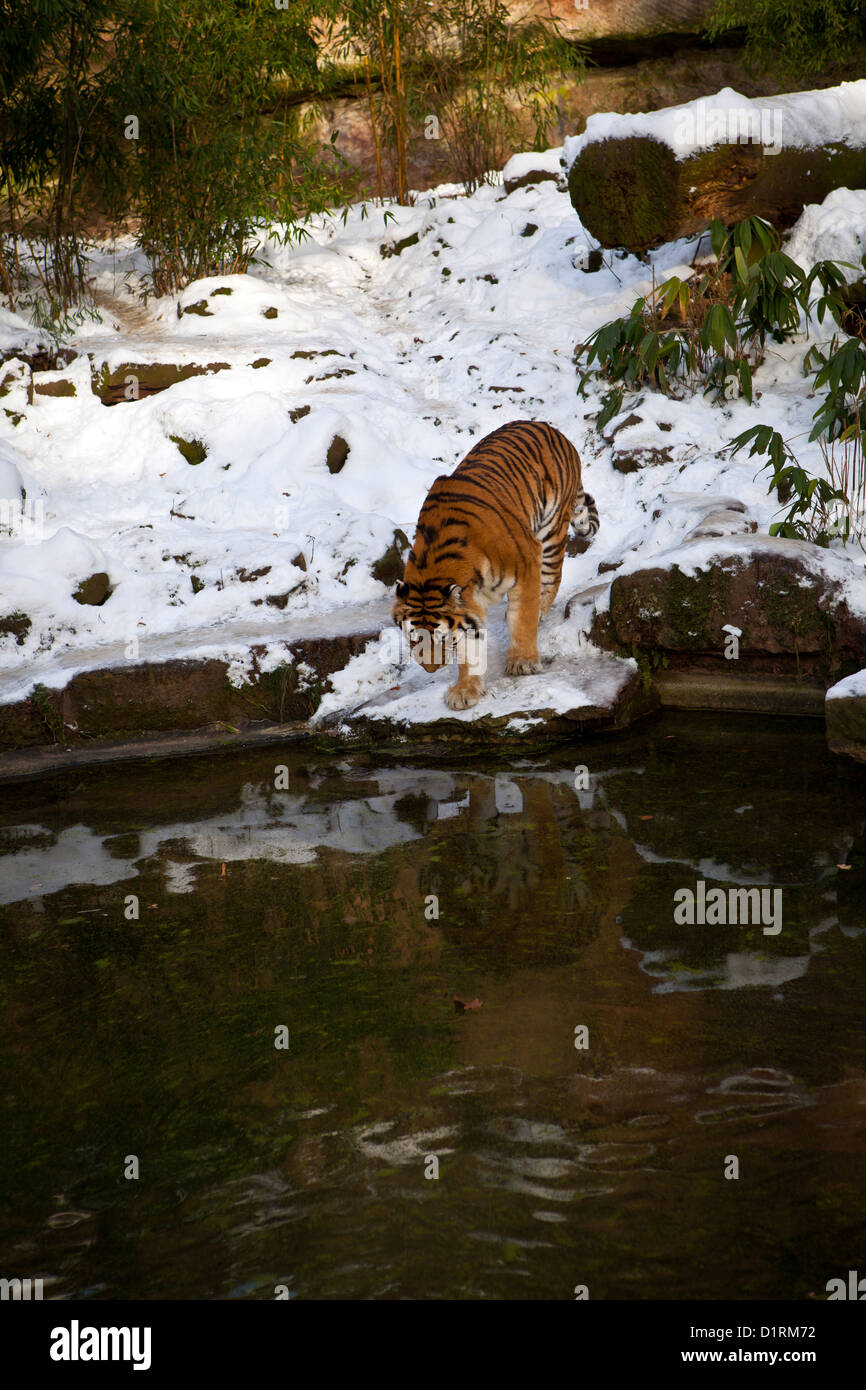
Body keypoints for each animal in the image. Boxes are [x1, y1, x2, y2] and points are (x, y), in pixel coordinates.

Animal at [393, 419, 599, 709]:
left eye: (442, 637)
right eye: (414, 638)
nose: (431, 670)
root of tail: (548, 427)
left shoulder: (526, 563)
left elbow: (522, 617)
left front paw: (523, 662)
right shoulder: (468, 608)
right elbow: (470, 647)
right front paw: (465, 690)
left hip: (551, 532)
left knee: (552, 578)